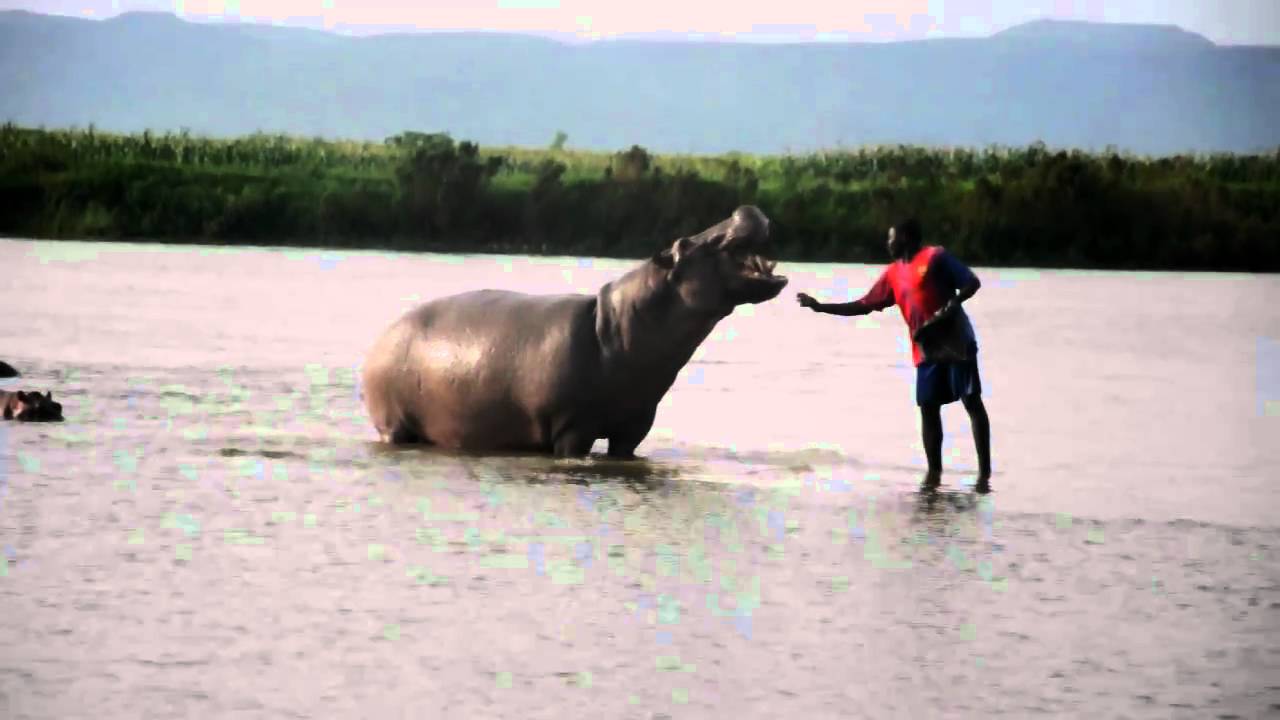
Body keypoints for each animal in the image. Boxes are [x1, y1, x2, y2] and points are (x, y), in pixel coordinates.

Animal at [360, 205, 788, 458]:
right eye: (684, 243)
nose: (743, 208)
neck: (621, 325)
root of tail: (383, 334)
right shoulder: (573, 428)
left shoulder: (633, 429)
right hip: (394, 425)